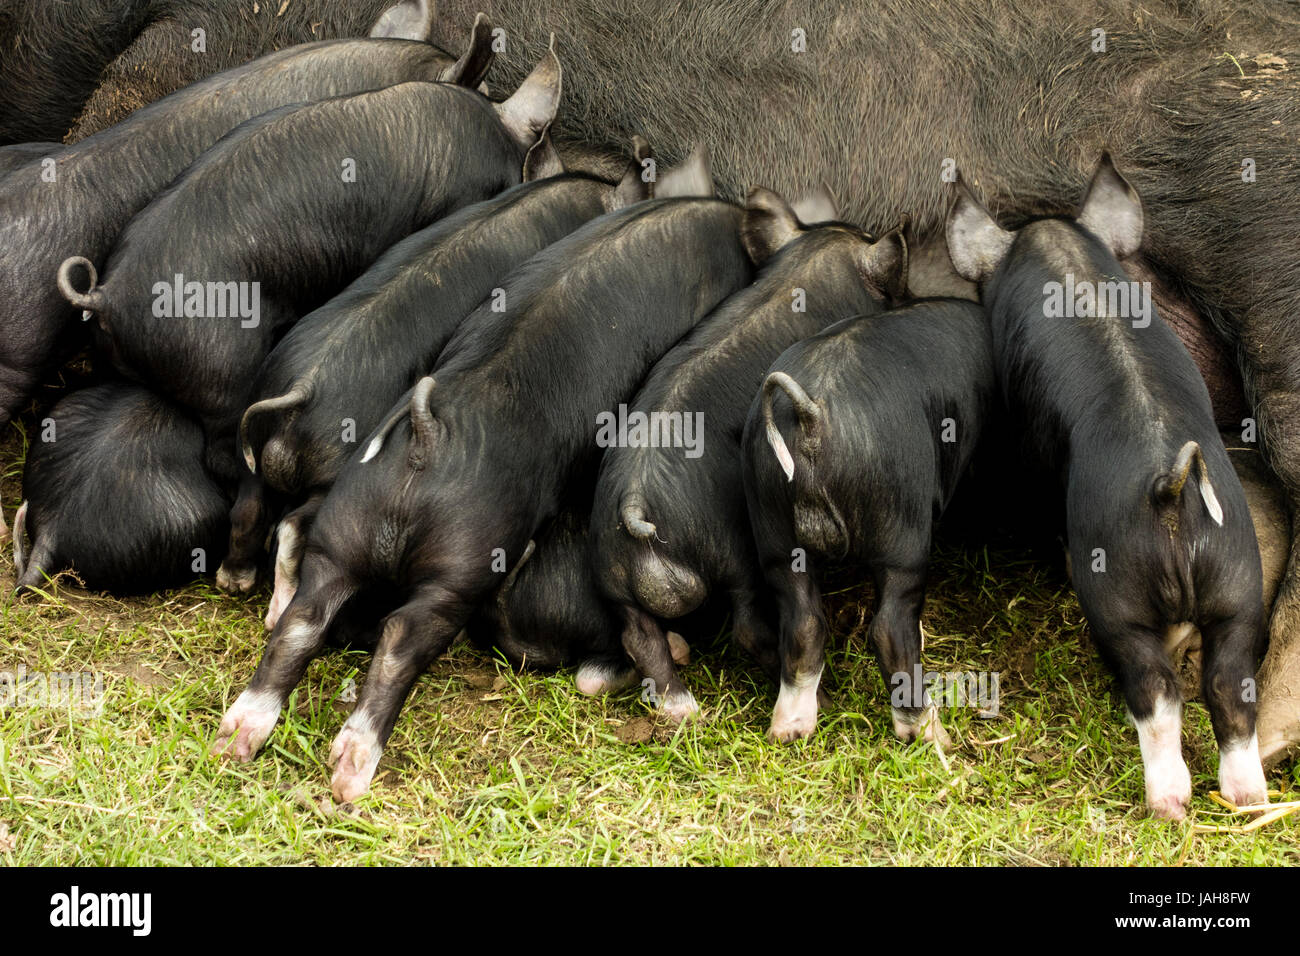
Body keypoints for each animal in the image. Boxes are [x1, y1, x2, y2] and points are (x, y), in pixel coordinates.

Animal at [213, 191, 754, 803]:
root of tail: (425, 441)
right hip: (462, 560)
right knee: (401, 634)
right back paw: (350, 775)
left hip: (345, 527)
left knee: (300, 612)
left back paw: (235, 736)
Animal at [221, 136, 664, 603]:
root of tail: (304, 386)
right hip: (329, 467)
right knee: (292, 525)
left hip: (251, 443)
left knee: (247, 508)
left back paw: (234, 581)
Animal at [589, 186, 908, 720]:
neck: (803, 270)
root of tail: (635, 502)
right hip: (728, 544)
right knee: (747, 626)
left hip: (615, 580)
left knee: (640, 640)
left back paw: (684, 713)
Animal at [742, 299, 995, 747]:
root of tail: (811, 416)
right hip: (900, 524)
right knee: (890, 627)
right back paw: (932, 737)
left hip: (771, 521)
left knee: (804, 621)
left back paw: (788, 731)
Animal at [945, 154, 1269, 817]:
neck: (1066, 255)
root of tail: (1170, 487)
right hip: (1237, 576)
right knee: (1230, 684)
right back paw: (1246, 799)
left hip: (1116, 592)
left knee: (1156, 693)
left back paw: (1167, 804)